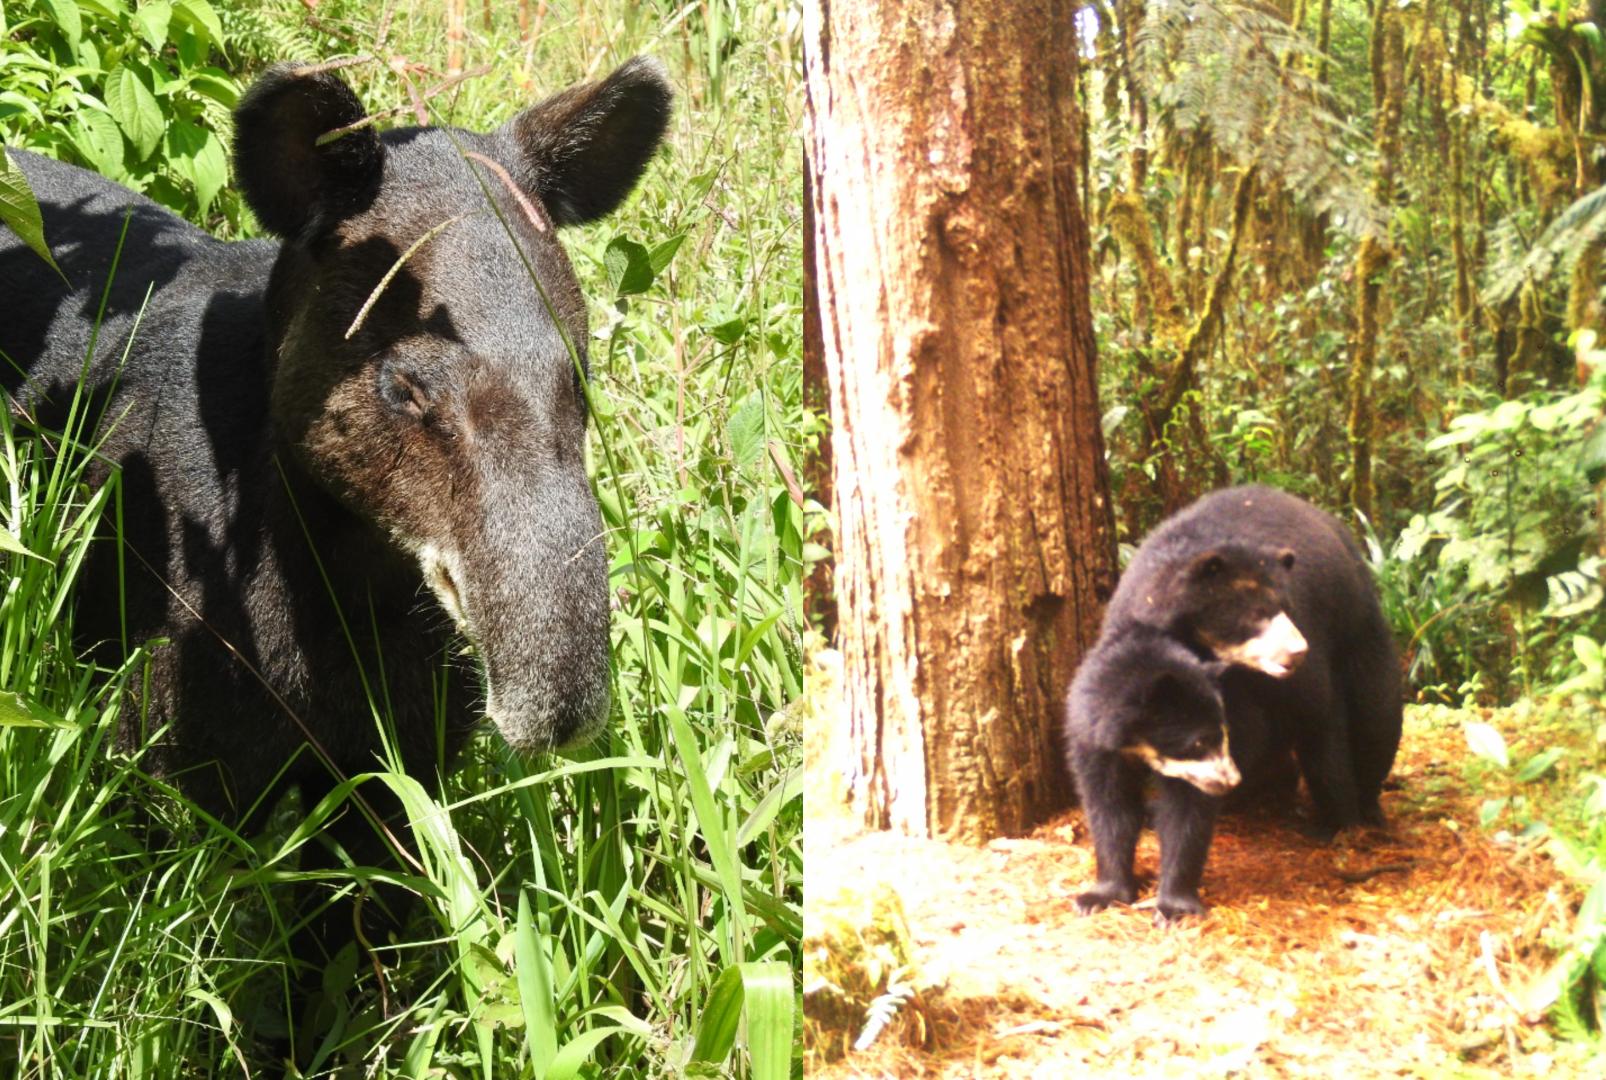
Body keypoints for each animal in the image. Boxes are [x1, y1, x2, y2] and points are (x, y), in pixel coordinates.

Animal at [1065, 485, 1403, 922]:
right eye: (1256, 614)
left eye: (1285, 607)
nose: (1299, 650)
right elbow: (1107, 800)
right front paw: (1101, 893)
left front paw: (1172, 903)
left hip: (1359, 628)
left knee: (1372, 718)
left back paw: (1350, 814)